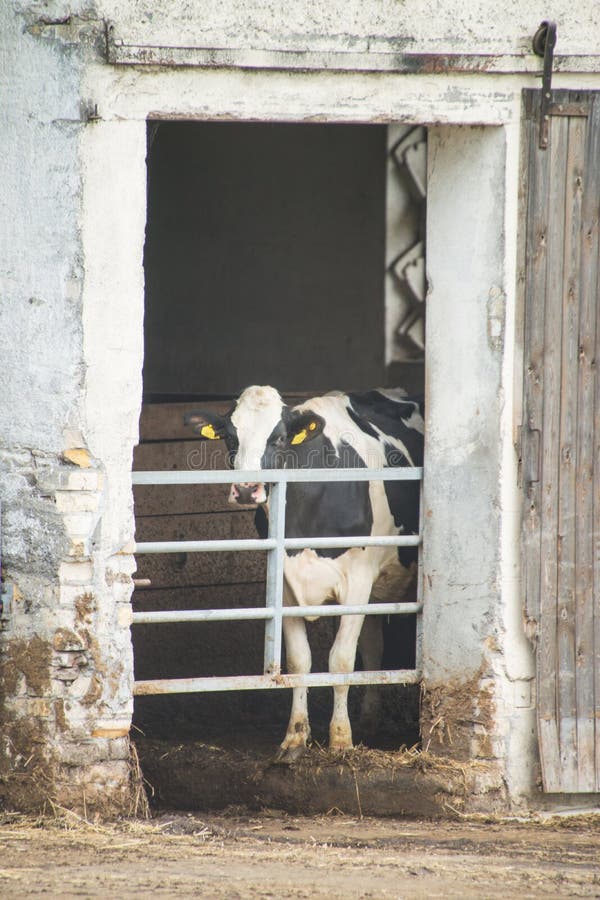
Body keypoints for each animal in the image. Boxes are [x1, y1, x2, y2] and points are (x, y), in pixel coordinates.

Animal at [185, 385, 424, 761]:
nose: (246, 489)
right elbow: (299, 661)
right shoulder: (285, 586)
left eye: (280, 438)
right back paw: (369, 718)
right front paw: (295, 738)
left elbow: (341, 660)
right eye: (230, 436)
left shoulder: (357, 580)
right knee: (373, 647)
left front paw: (340, 739)